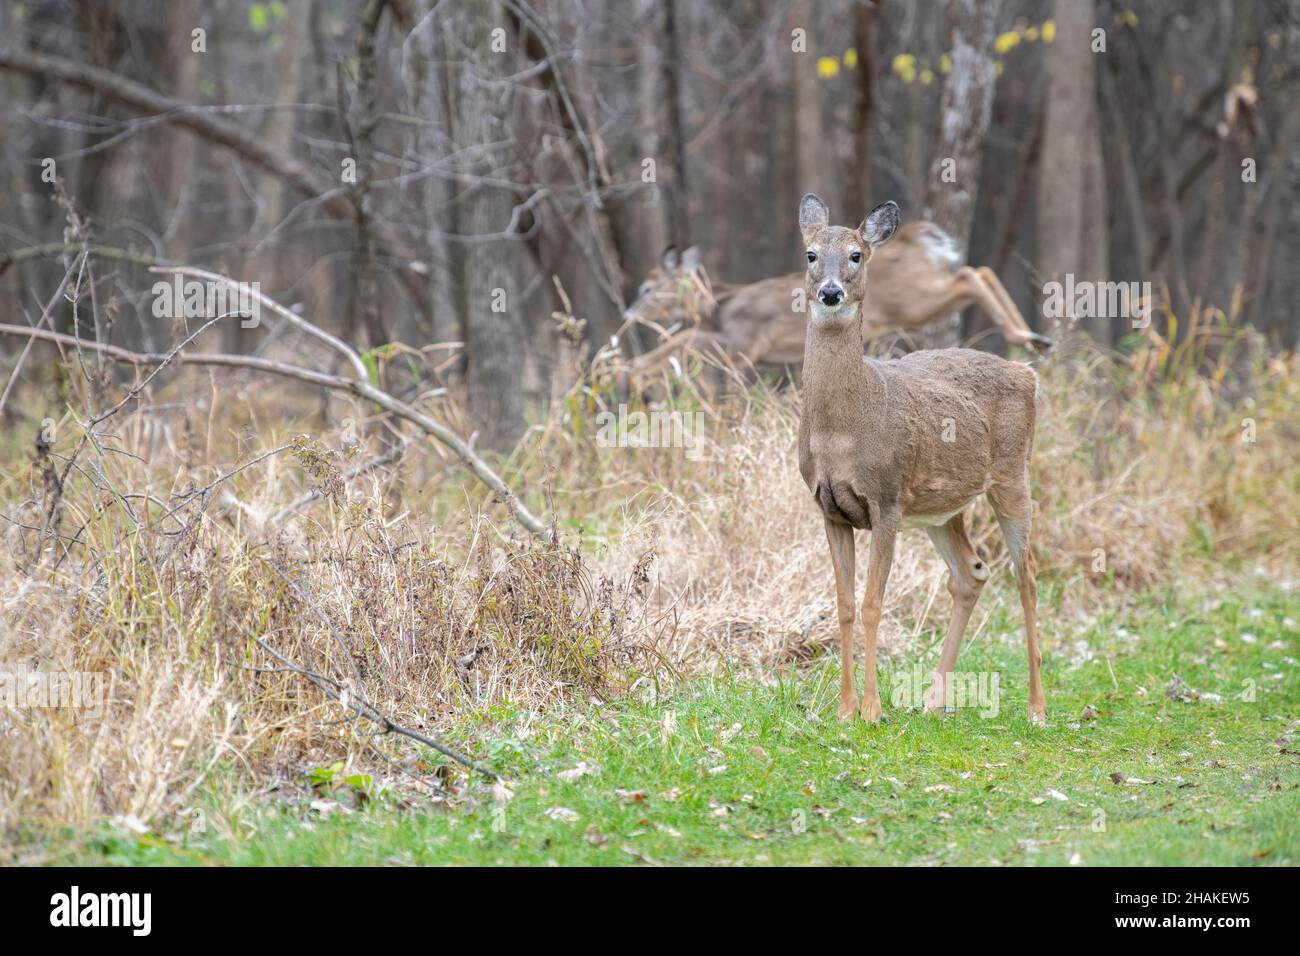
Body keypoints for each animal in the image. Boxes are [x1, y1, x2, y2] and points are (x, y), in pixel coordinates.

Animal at [622, 222, 1050, 387]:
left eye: (647, 287)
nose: (628, 313)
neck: (719, 305)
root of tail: (918, 237)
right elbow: (681, 340)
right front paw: (630, 372)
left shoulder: (746, 344)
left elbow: (683, 340)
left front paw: (628, 371)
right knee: (981, 269)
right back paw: (1036, 341)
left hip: (912, 301)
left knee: (971, 276)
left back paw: (1024, 336)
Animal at [795, 193, 1045, 726]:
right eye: (810, 254)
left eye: (857, 254)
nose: (830, 293)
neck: (842, 431)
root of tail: (1028, 375)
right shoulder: (829, 509)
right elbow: (844, 604)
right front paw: (845, 709)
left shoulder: (887, 499)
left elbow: (874, 603)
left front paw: (871, 710)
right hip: (942, 507)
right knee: (971, 573)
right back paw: (934, 699)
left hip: (1013, 475)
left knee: (1026, 575)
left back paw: (1037, 707)